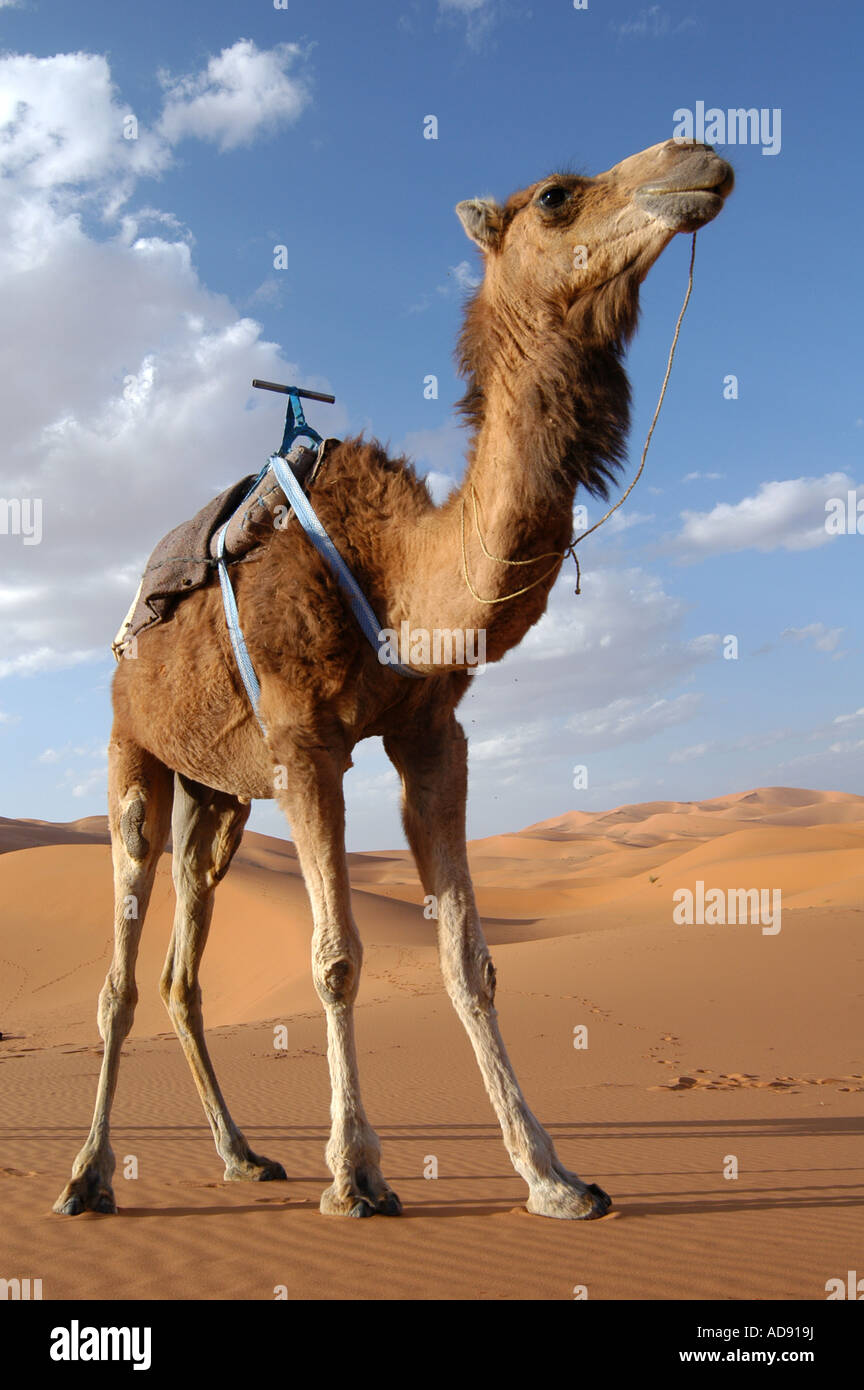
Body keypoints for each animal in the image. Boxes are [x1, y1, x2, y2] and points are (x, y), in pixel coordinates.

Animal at [54, 138, 732, 1221]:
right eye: (556, 195)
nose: (699, 157)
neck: (393, 569)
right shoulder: (304, 746)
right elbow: (336, 958)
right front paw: (358, 1174)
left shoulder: (431, 735)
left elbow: (469, 959)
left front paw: (552, 1175)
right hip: (132, 753)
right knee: (122, 965)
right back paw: (87, 1176)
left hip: (216, 797)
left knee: (181, 967)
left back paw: (242, 1154)